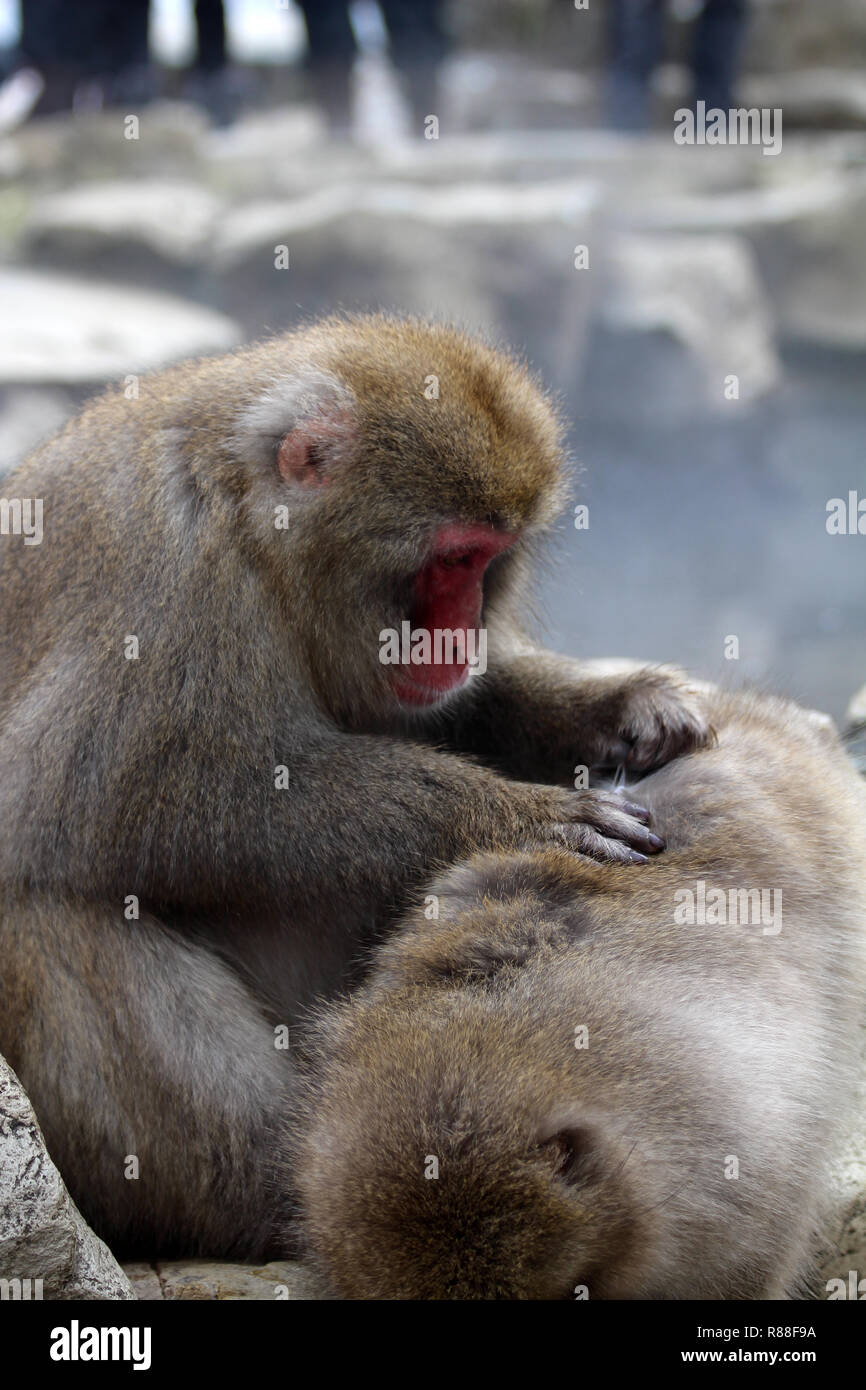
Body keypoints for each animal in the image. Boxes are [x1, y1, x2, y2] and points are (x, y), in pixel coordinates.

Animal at [0, 314, 712, 1261]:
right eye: (453, 556)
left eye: (491, 561)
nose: (459, 636)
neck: (252, 522)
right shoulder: (161, 574)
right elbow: (119, 803)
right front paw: (517, 820)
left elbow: (456, 710)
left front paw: (621, 705)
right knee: (49, 904)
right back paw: (295, 1187)